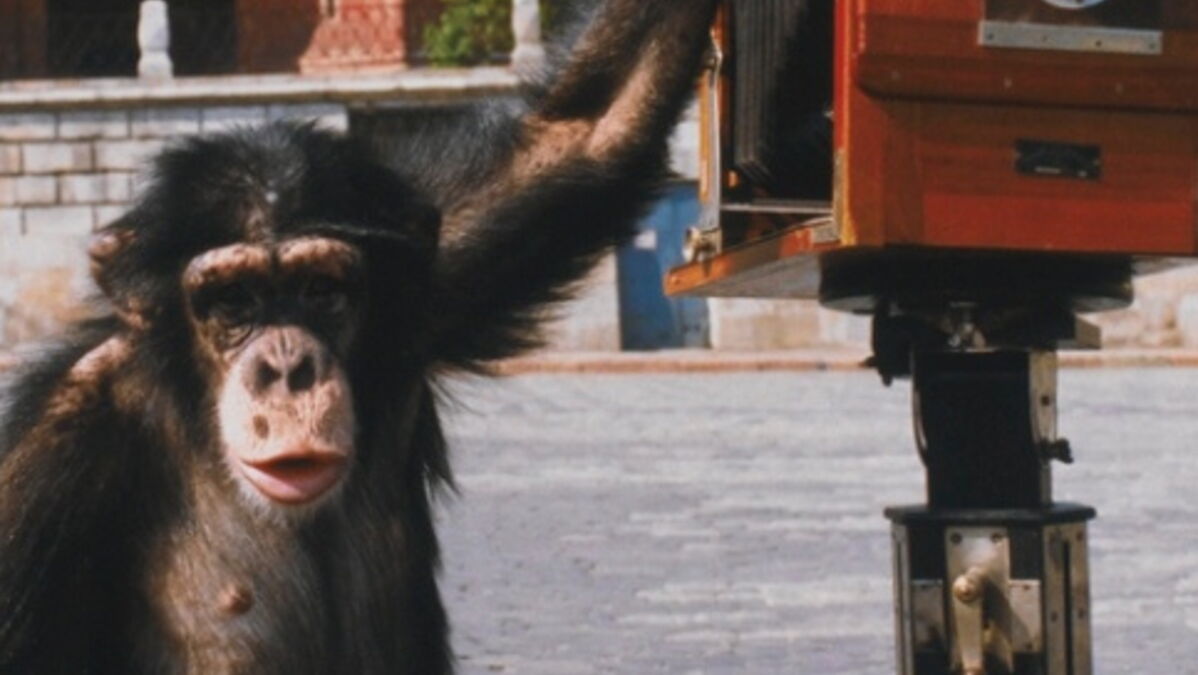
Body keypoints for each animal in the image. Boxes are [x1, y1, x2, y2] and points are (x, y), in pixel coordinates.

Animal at [0, 1, 721, 672]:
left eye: (320, 288)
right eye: (233, 301)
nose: (287, 367)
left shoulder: (424, 275)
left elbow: (589, 129)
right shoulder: (55, 441)